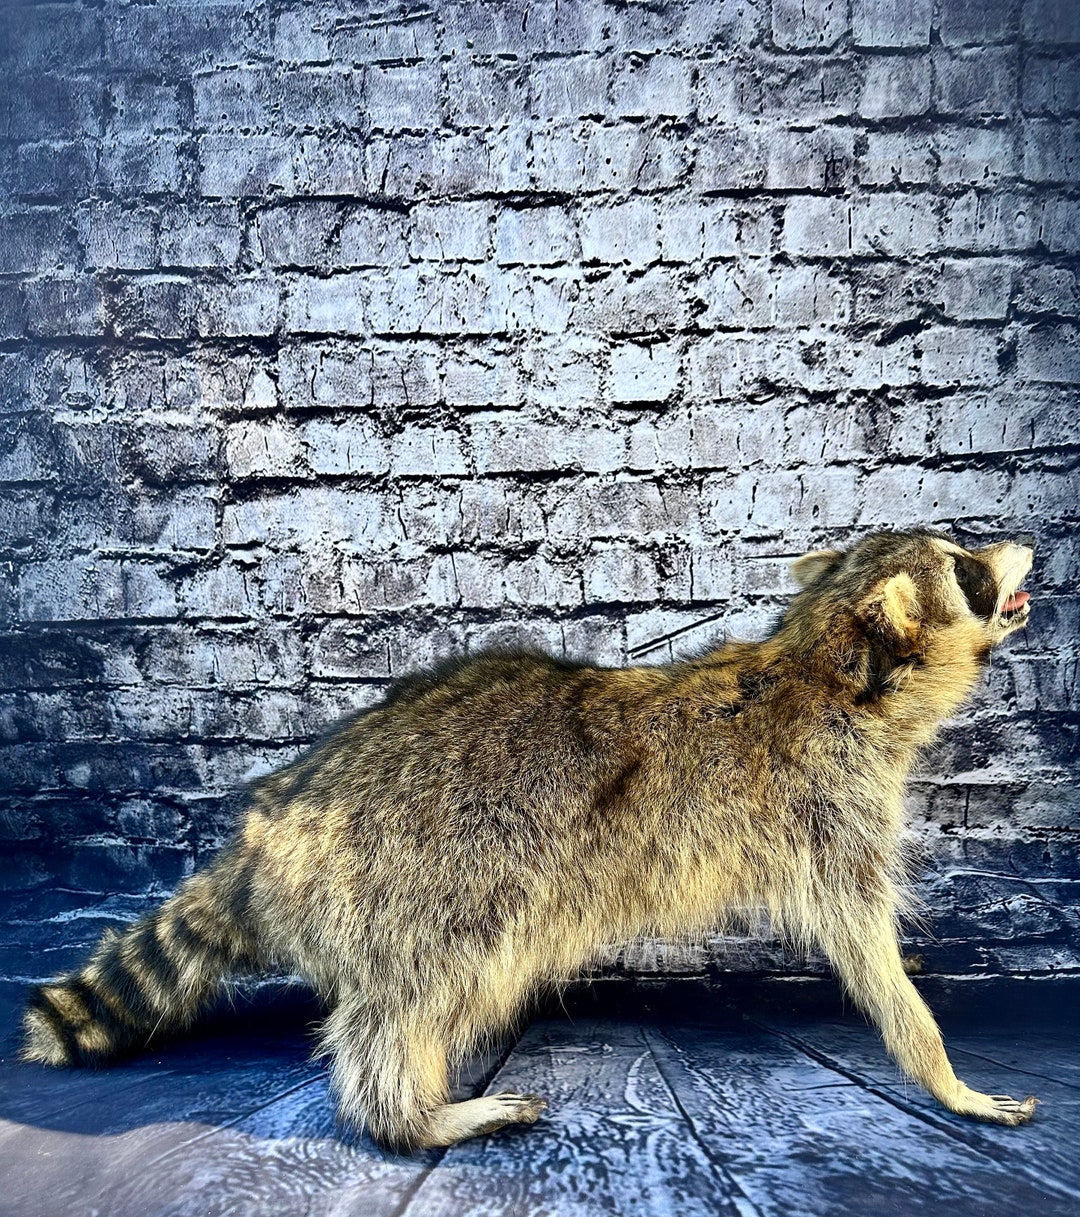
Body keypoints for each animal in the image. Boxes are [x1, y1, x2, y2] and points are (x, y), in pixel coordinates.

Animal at [22, 528, 1038, 1149]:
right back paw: (407, 1111)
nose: (1024, 541)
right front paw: (940, 1065)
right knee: (431, 977)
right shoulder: (827, 803)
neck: (831, 664)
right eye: (970, 571)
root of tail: (272, 824)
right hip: (428, 868)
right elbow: (867, 948)